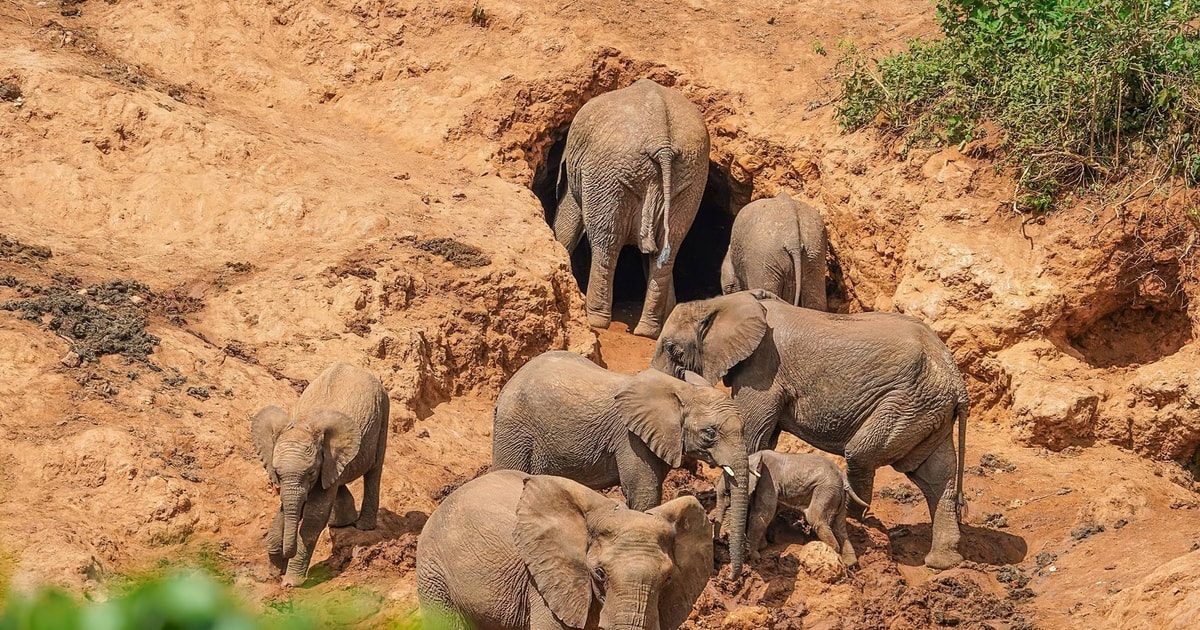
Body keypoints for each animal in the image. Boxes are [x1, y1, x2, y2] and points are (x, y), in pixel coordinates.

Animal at [250, 363, 389, 587]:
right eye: (277, 473)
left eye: (311, 472)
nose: (279, 573)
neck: (303, 425)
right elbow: (286, 508)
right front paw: (274, 572)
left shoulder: (327, 460)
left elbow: (314, 515)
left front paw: (290, 582)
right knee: (338, 482)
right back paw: (340, 523)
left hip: (384, 409)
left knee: (374, 471)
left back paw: (362, 527)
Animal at [491, 350, 750, 577]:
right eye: (710, 433)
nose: (729, 574)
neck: (683, 390)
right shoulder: (630, 438)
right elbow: (644, 493)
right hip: (514, 430)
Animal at [553, 78, 711, 338]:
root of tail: (662, 142)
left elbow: (568, 219)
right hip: (691, 174)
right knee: (669, 247)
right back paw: (648, 331)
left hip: (608, 172)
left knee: (606, 242)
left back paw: (596, 320)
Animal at [714, 450, 869, 567]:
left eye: (727, 492)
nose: (719, 540)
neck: (753, 457)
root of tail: (843, 477)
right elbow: (769, 514)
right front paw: (762, 547)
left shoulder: (768, 480)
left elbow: (761, 515)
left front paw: (754, 556)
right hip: (838, 495)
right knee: (840, 527)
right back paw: (849, 564)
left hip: (826, 491)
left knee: (817, 520)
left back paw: (833, 553)